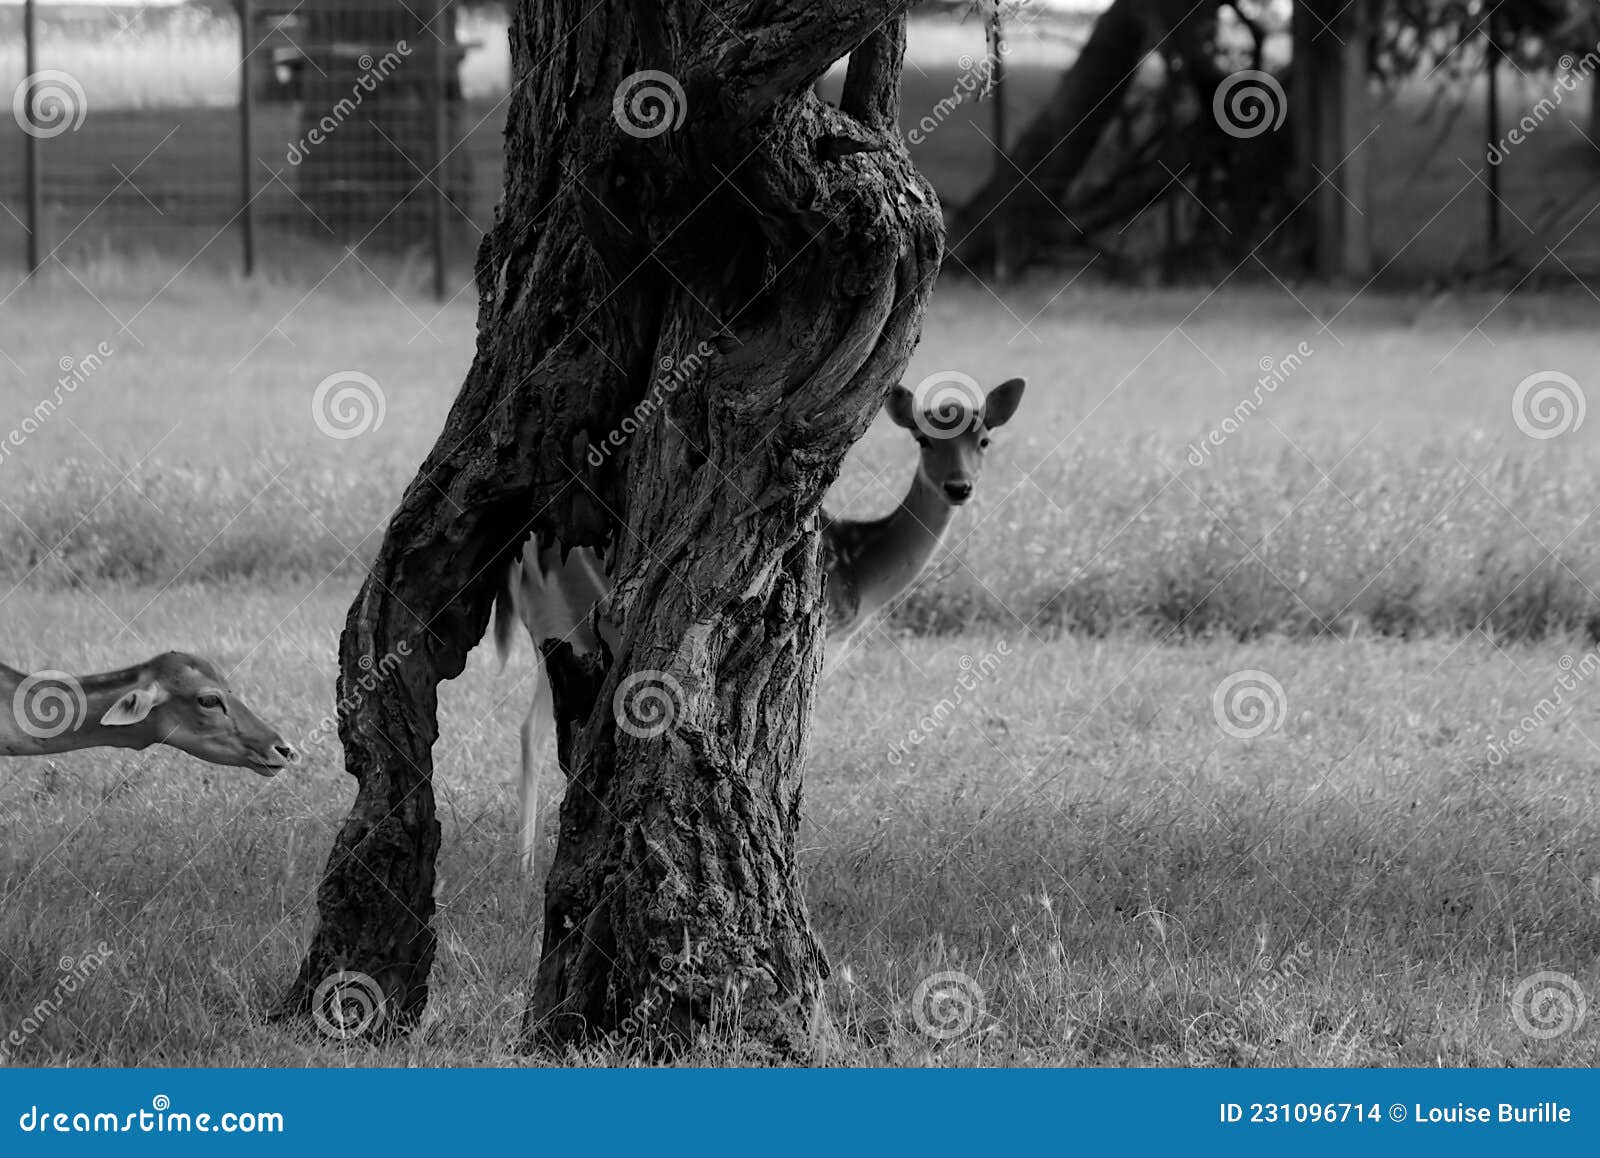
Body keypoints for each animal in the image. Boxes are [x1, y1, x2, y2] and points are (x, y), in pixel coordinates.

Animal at [493, 376, 1026, 872]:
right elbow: (798, 745)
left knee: (532, 728)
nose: (959, 487)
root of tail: (526, 552)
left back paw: (526, 863)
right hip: (583, 621)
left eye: (984, 440)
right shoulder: (820, 639)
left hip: (552, 629)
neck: (864, 577)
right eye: (923, 439)